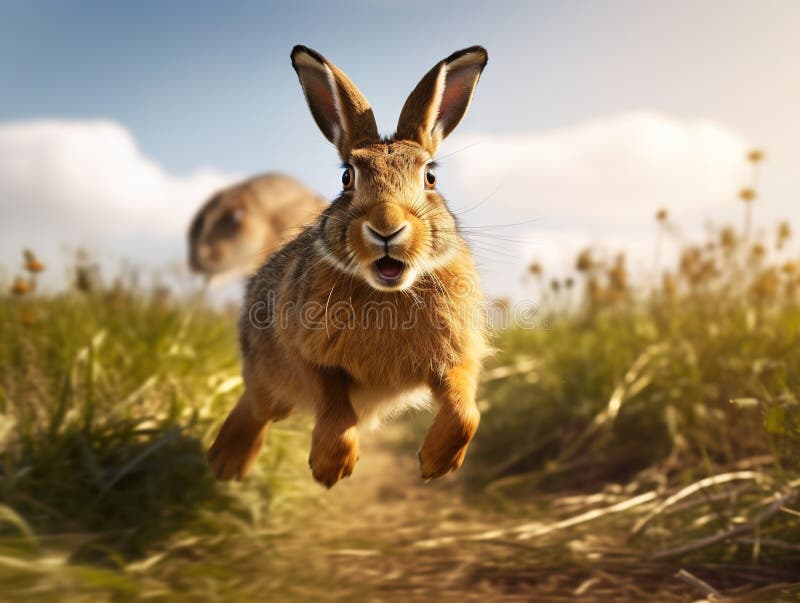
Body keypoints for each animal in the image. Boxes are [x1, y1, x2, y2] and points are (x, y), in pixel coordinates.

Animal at [207, 44, 490, 488]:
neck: (389, 292)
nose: (387, 227)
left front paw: (435, 463)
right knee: (255, 407)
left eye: (430, 177)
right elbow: (334, 405)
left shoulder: (455, 358)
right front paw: (330, 468)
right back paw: (225, 461)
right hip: (267, 376)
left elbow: (465, 411)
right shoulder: (307, 354)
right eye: (346, 177)